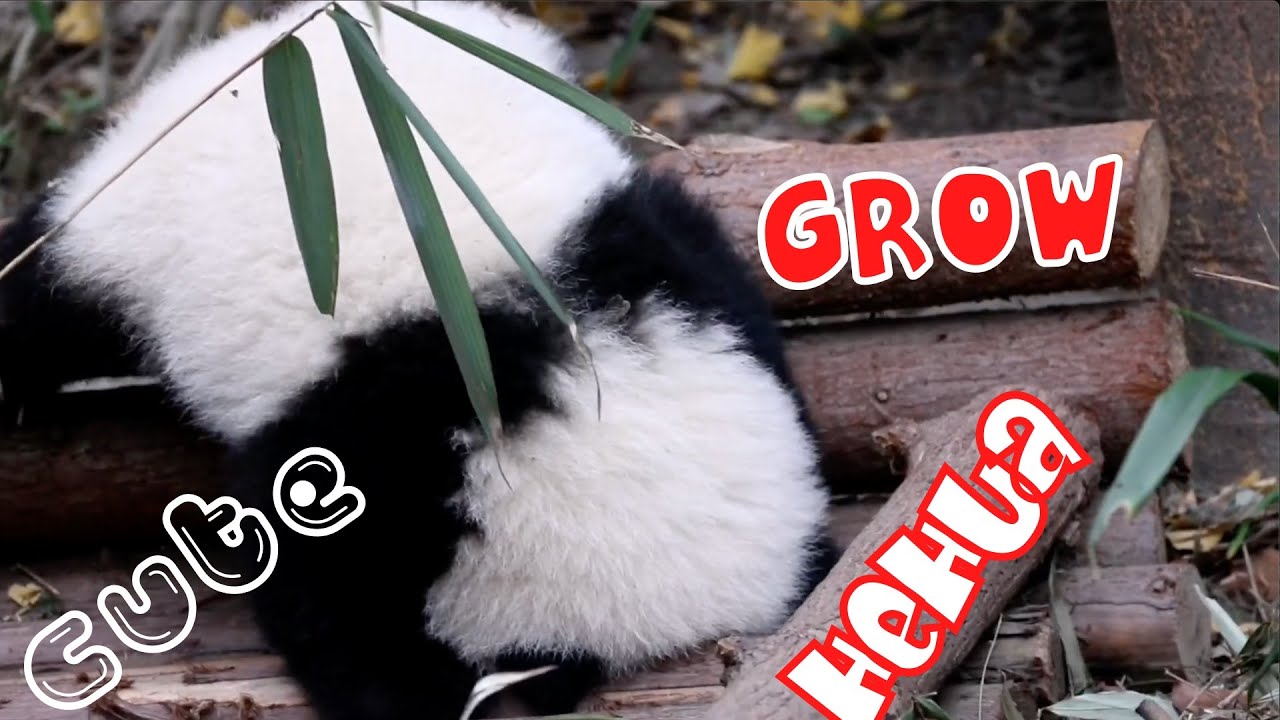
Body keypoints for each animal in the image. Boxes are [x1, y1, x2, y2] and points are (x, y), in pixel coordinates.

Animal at [0, 2, 838, 719]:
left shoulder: (662, 256)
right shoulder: (376, 446)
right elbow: (319, 583)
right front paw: (398, 691)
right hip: (132, 227)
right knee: (48, 297)